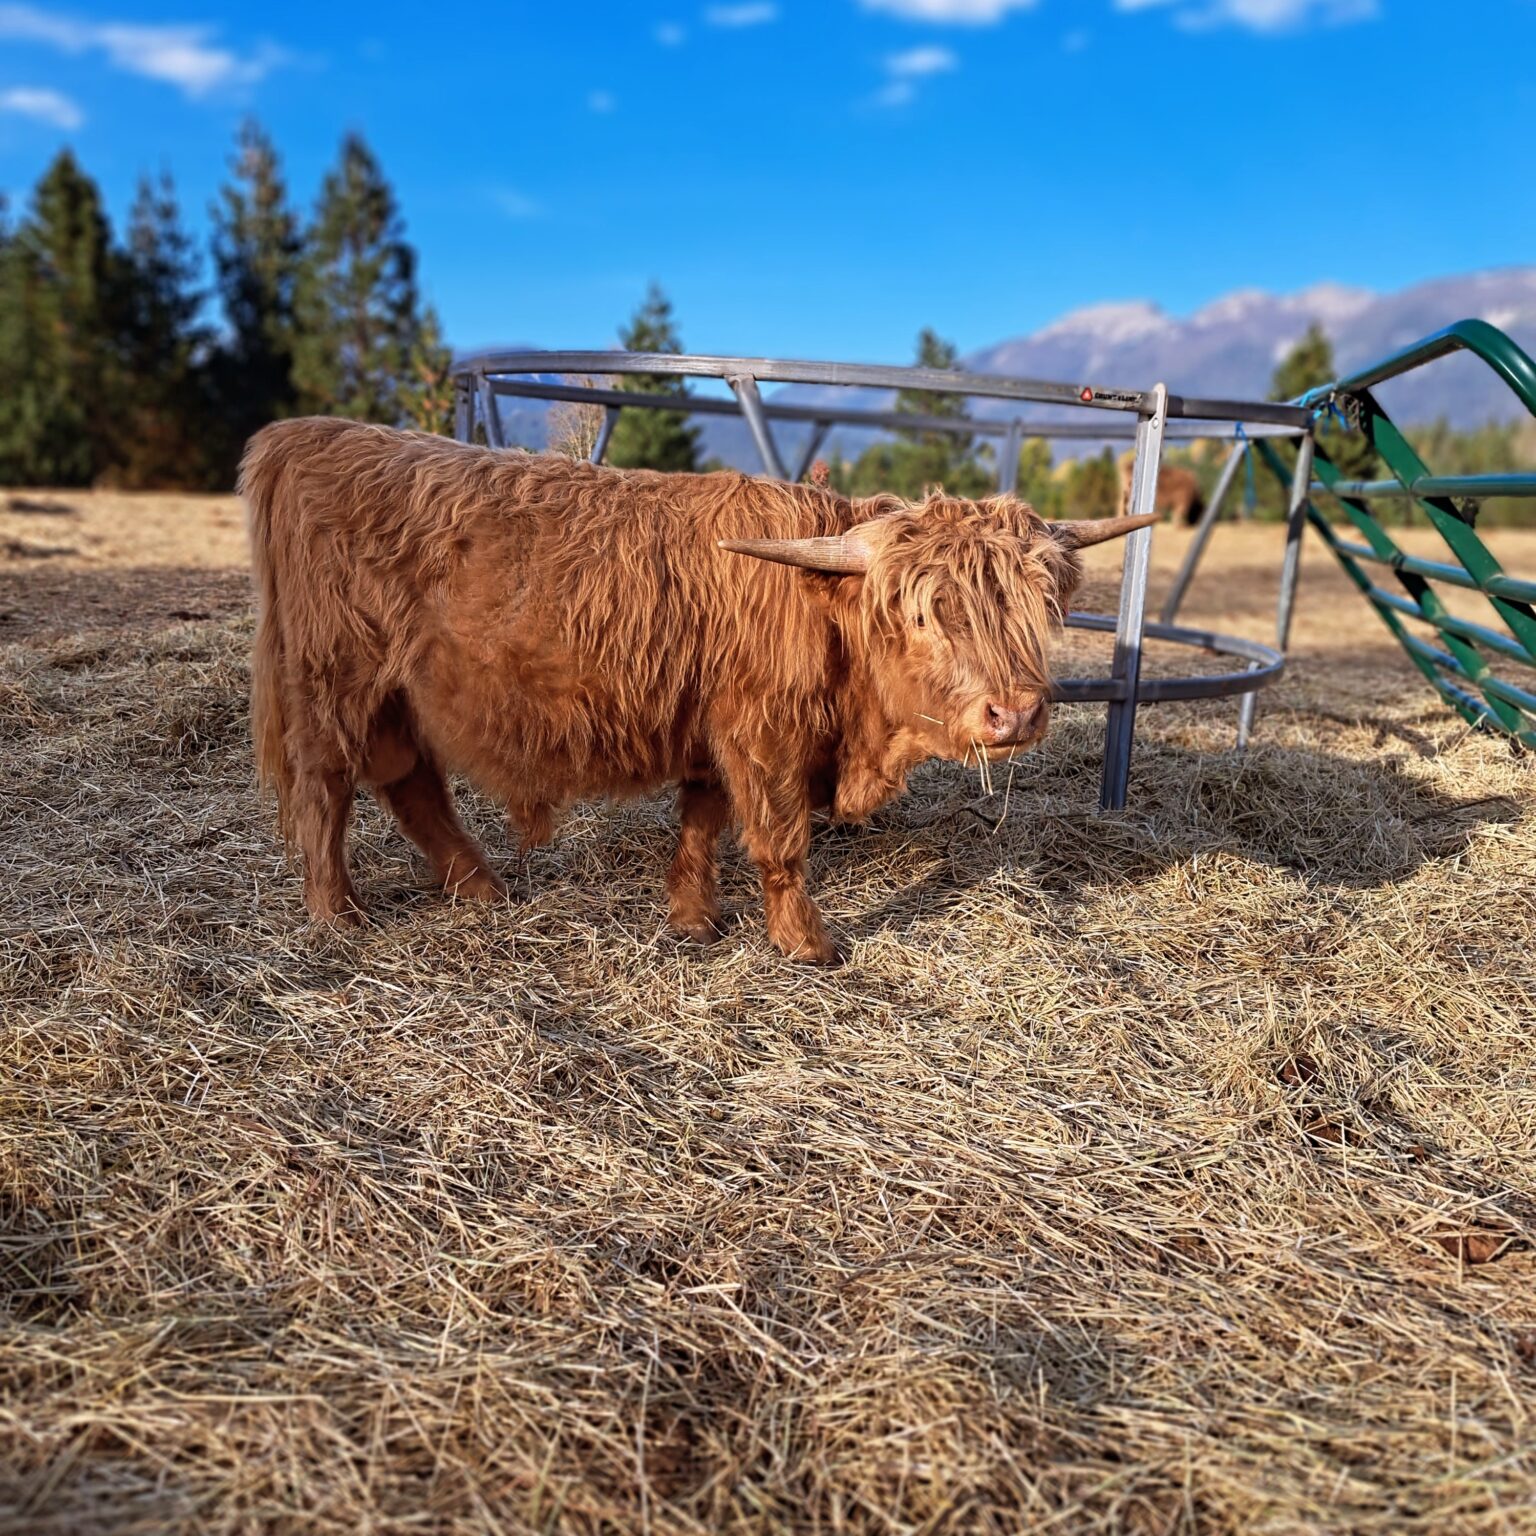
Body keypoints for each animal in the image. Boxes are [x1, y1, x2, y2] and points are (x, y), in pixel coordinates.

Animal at [242, 419, 1154, 963]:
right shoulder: (765, 733)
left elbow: (702, 821)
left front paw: (692, 918)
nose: (1016, 714)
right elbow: (780, 842)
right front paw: (807, 943)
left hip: (397, 694)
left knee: (410, 781)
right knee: (330, 788)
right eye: (925, 613)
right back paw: (337, 915)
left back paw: (482, 888)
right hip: (337, 680)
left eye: (1038, 607)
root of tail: (310, 434)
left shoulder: (716, 728)